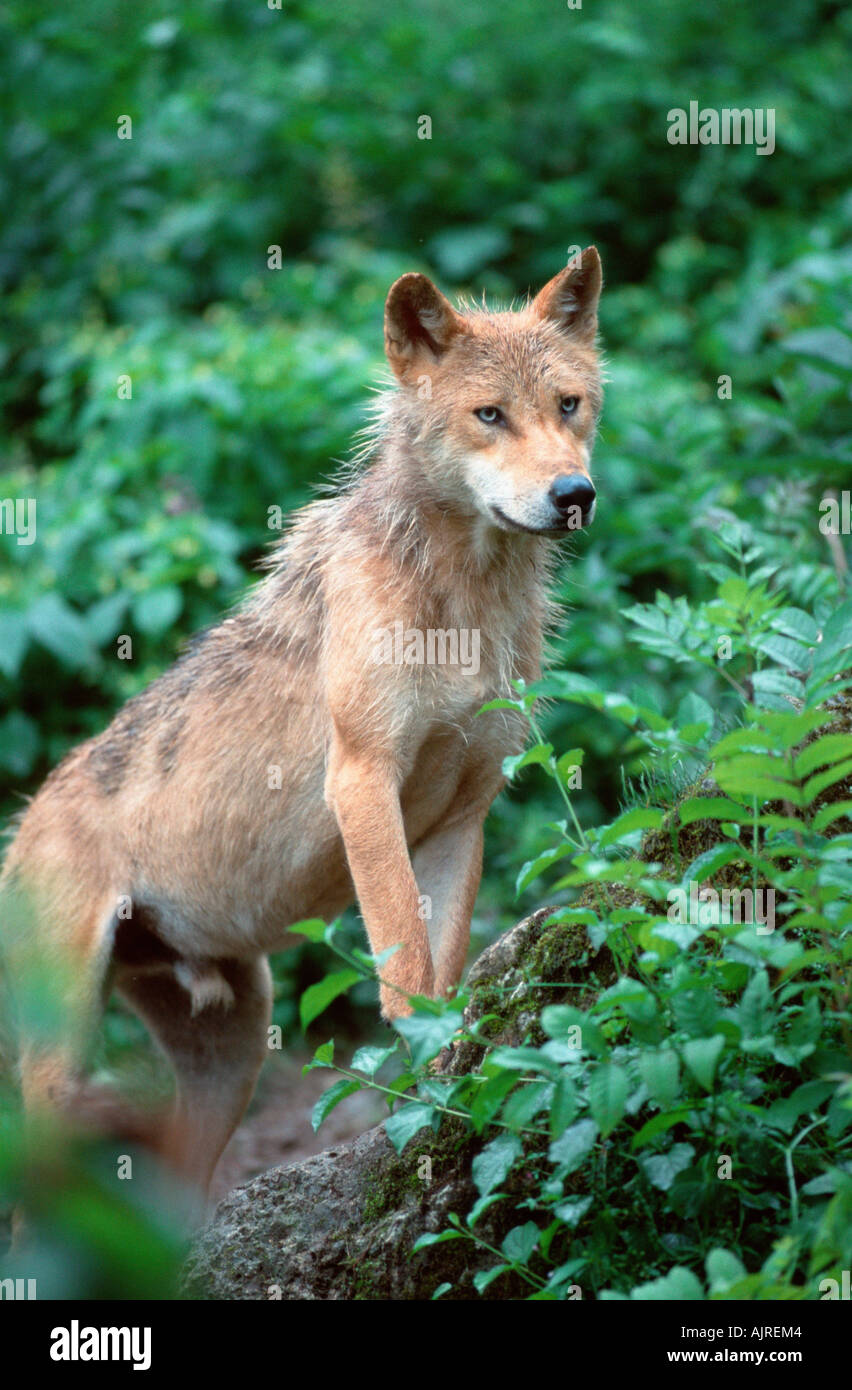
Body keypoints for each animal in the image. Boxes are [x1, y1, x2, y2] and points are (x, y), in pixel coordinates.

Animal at [0, 247, 603, 1194]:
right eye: (490, 415)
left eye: (568, 405)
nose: (573, 493)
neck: (465, 607)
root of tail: (21, 825)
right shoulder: (361, 780)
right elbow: (405, 971)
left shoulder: (465, 814)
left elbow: (444, 969)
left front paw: (446, 1087)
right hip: (63, 1066)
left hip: (237, 1052)